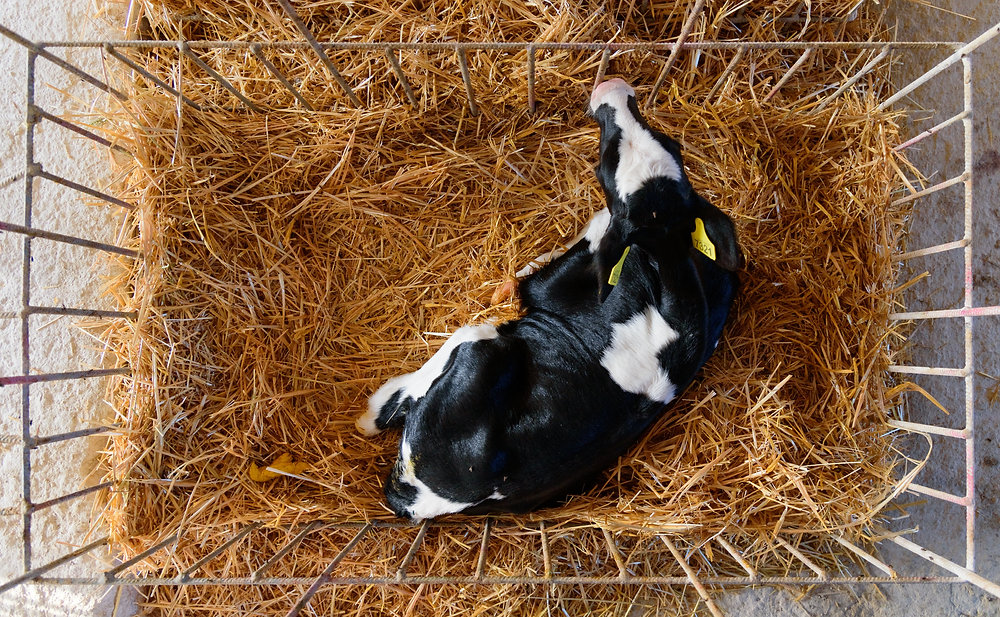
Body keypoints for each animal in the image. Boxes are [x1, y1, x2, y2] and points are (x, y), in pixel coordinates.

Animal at [356, 78, 744, 521]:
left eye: (605, 163)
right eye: (669, 140)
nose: (614, 88)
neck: (668, 258)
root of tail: (429, 498)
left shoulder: (548, 286)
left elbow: (530, 275)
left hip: (482, 346)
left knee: (424, 376)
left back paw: (369, 411)